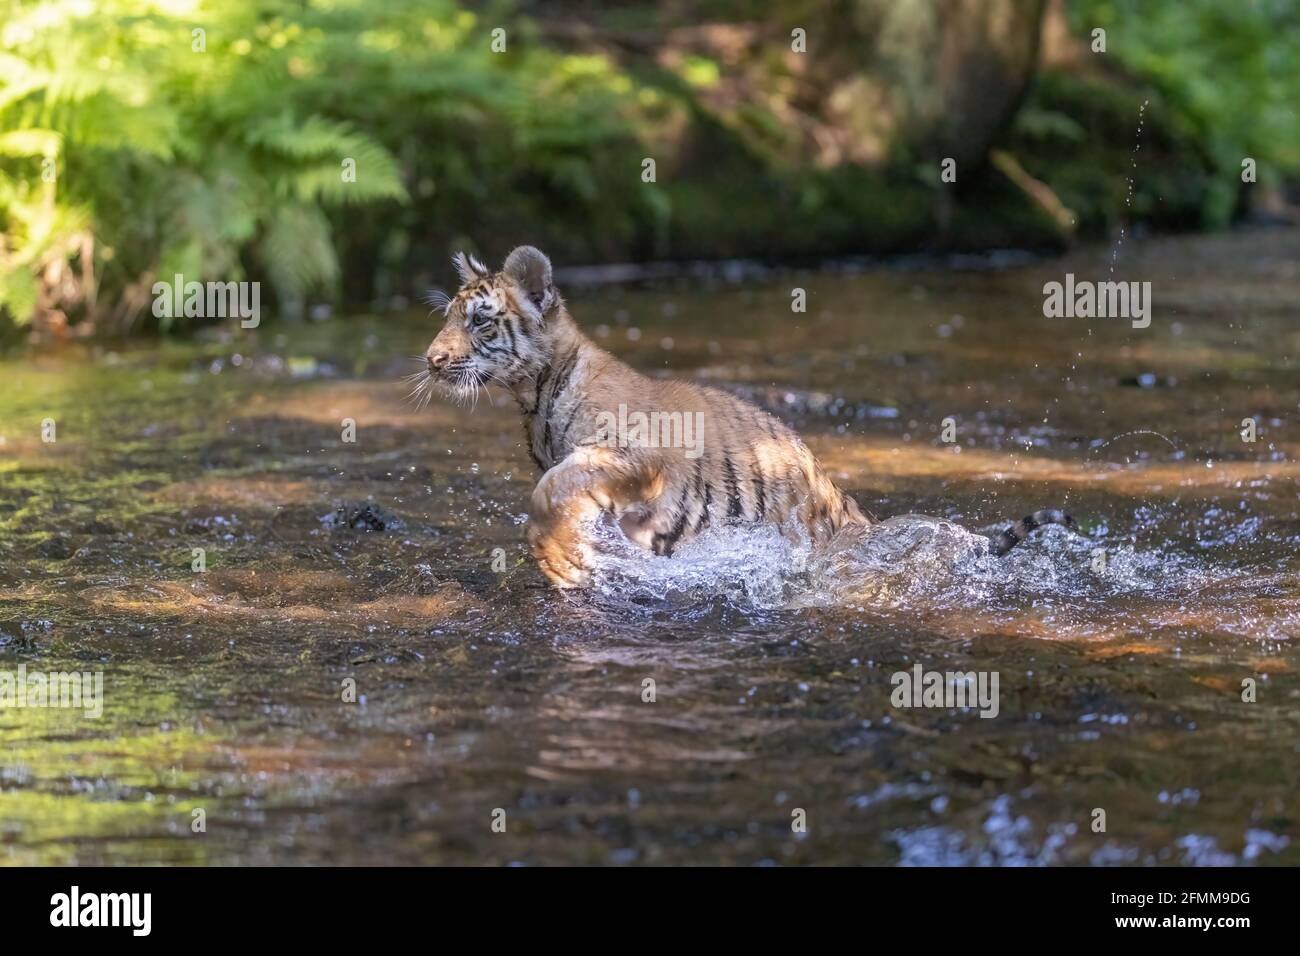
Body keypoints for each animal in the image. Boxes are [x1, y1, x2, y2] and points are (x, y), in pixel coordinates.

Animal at [417, 245, 1076, 588]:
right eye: (446, 318)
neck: (533, 397)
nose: (431, 360)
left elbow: (552, 490)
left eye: (479, 320)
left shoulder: (634, 454)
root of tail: (856, 518)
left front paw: (563, 560)